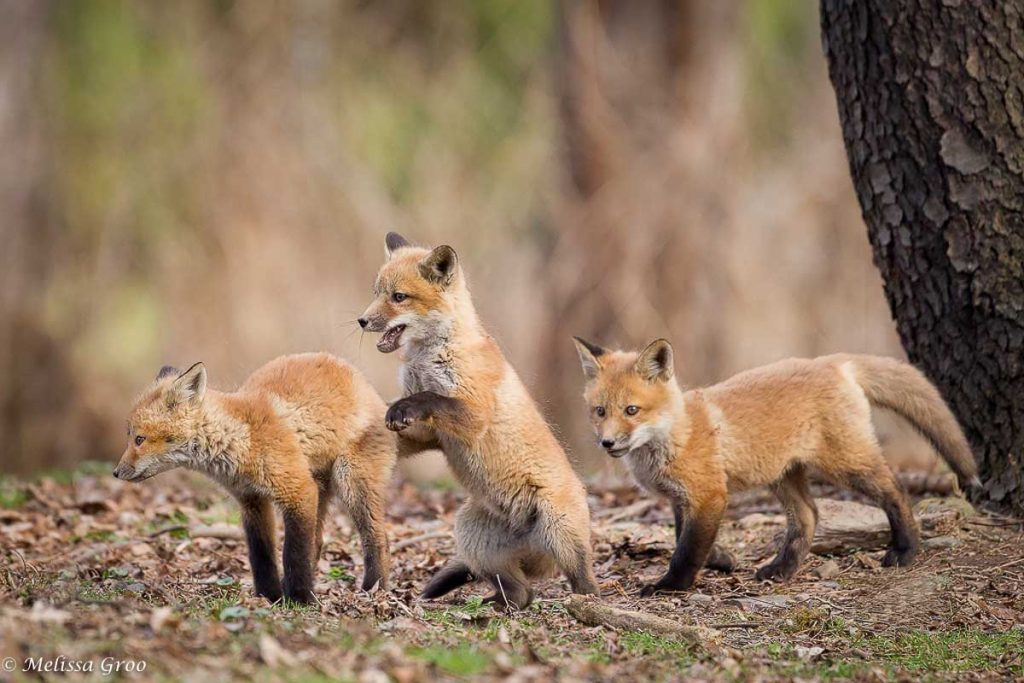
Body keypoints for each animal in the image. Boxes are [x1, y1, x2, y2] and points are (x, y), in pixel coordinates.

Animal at [113, 353, 396, 604]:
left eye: (139, 439)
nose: (116, 472)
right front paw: (269, 596)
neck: (242, 439)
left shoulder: (297, 489)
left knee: (377, 539)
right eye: (130, 437)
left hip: (350, 482)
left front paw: (300, 600)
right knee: (317, 543)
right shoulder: (251, 499)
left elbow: (293, 553)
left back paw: (373, 589)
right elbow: (261, 554)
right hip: (321, 489)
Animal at [357, 232, 600, 608]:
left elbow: (428, 398)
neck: (430, 358)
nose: (362, 321)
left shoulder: (473, 415)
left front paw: (397, 408)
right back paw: (496, 606)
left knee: (582, 577)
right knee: (522, 592)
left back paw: (586, 601)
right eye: (376, 292)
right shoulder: (431, 433)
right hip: (472, 534)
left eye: (398, 297)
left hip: (558, 529)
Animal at [573, 337, 978, 596]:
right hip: (783, 475)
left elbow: (686, 550)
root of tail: (831, 361)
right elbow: (683, 536)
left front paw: (670, 586)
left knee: (896, 490)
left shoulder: (709, 495)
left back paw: (906, 549)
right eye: (600, 411)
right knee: (809, 516)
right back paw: (781, 570)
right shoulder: (682, 499)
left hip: (845, 464)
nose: (607, 443)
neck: (675, 434)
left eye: (632, 410)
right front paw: (721, 560)